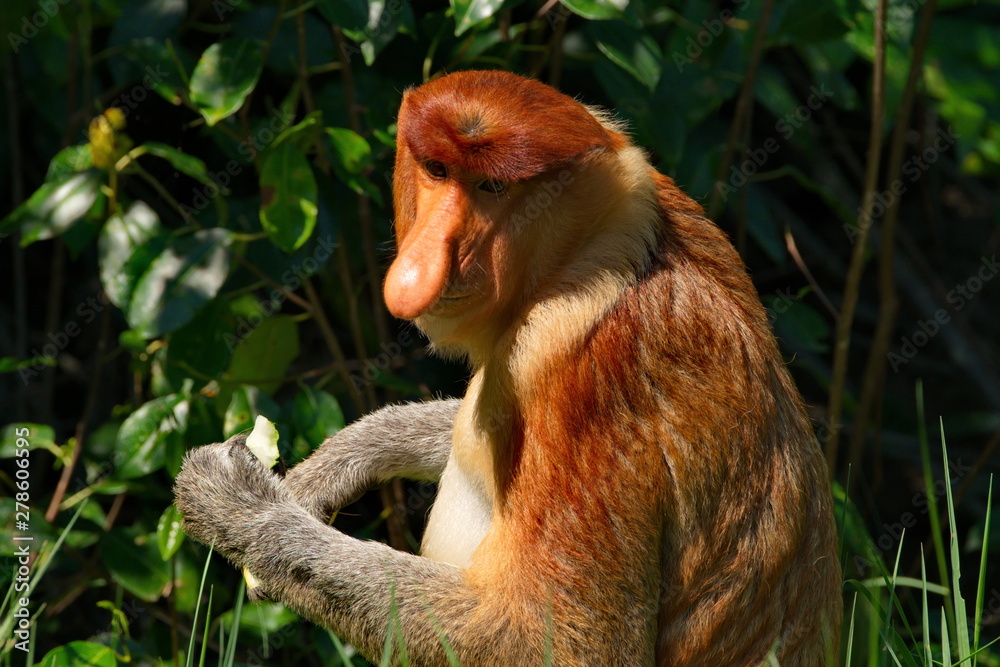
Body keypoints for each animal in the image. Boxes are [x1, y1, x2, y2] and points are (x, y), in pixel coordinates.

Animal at [174, 69, 842, 666]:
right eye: (437, 170)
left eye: (493, 187)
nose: (421, 267)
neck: (598, 245)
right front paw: (329, 468)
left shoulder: (585, 367)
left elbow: (552, 644)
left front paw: (238, 505)